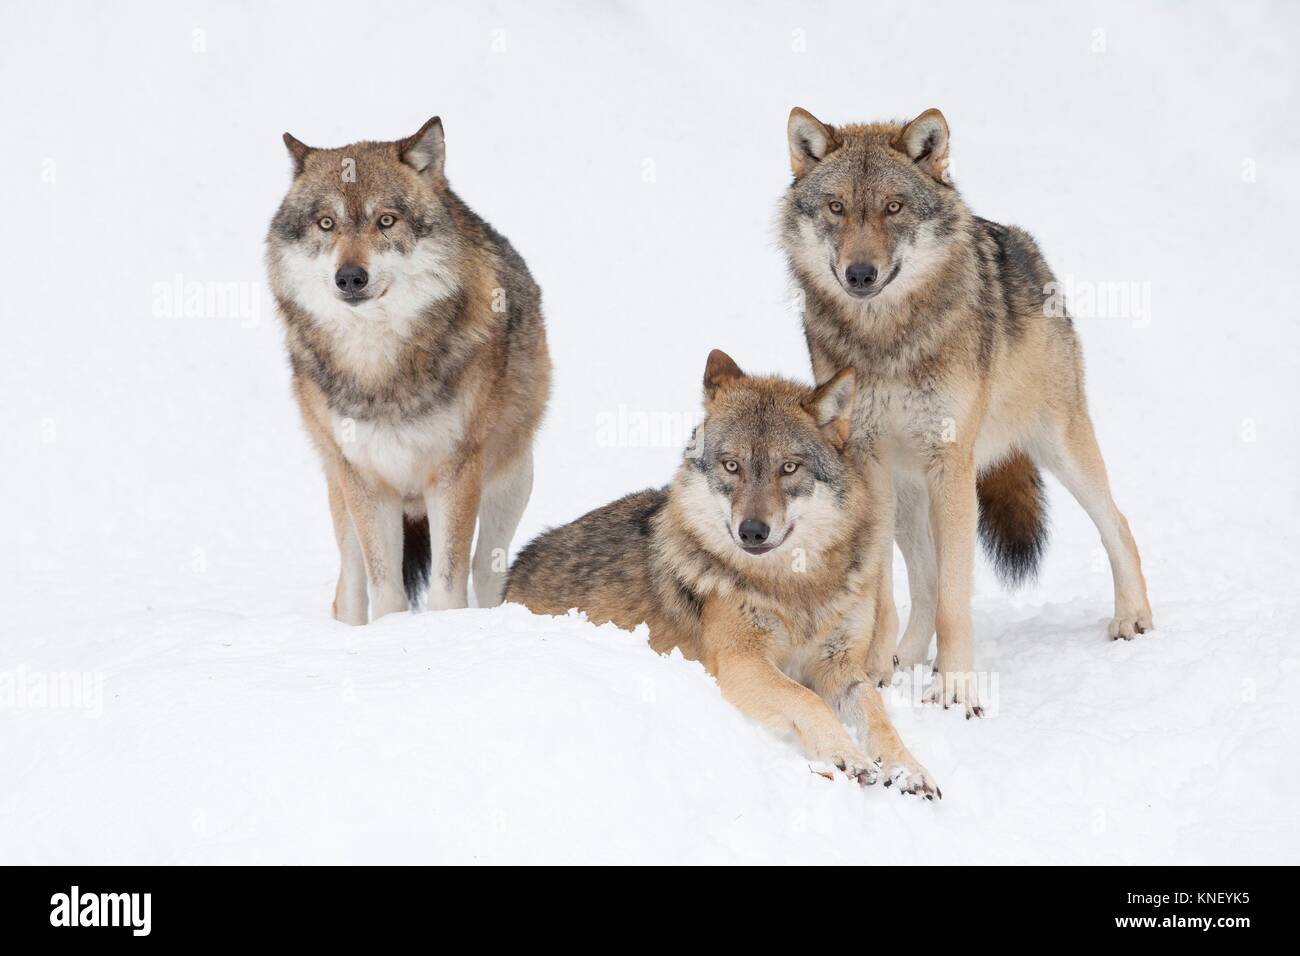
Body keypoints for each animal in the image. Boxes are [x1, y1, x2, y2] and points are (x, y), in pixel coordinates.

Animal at [266, 116, 550, 623]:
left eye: (386, 220)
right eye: (326, 223)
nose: (350, 277)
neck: (380, 365)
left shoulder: (455, 471)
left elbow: (446, 588)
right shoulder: (364, 477)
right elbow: (387, 593)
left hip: (511, 476)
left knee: (487, 567)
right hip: (341, 491)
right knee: (349, 585)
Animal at [507, 351, 937, 796]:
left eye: (788, 467)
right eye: (732, 466)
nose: (752, 531)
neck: (795, 587)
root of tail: (519, 563)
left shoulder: (842, 667)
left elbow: (878, 715)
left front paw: (908, 768)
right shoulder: (741, 662)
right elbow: (807, 699)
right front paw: (846, 755)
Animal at [780, 107, 1153, 715]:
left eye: (893, 207)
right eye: (836, 207)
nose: (860, 274)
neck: (889, 340)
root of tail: (1026, 246)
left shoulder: (951, 463)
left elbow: (957, 600)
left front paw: (955, 689)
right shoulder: (868, 463)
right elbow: (888, 593)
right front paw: (875, 672)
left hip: (1058, 446)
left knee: (1117, 523)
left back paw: (1132, 619)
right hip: (908, 495)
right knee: (924, 583)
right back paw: (905, 660)